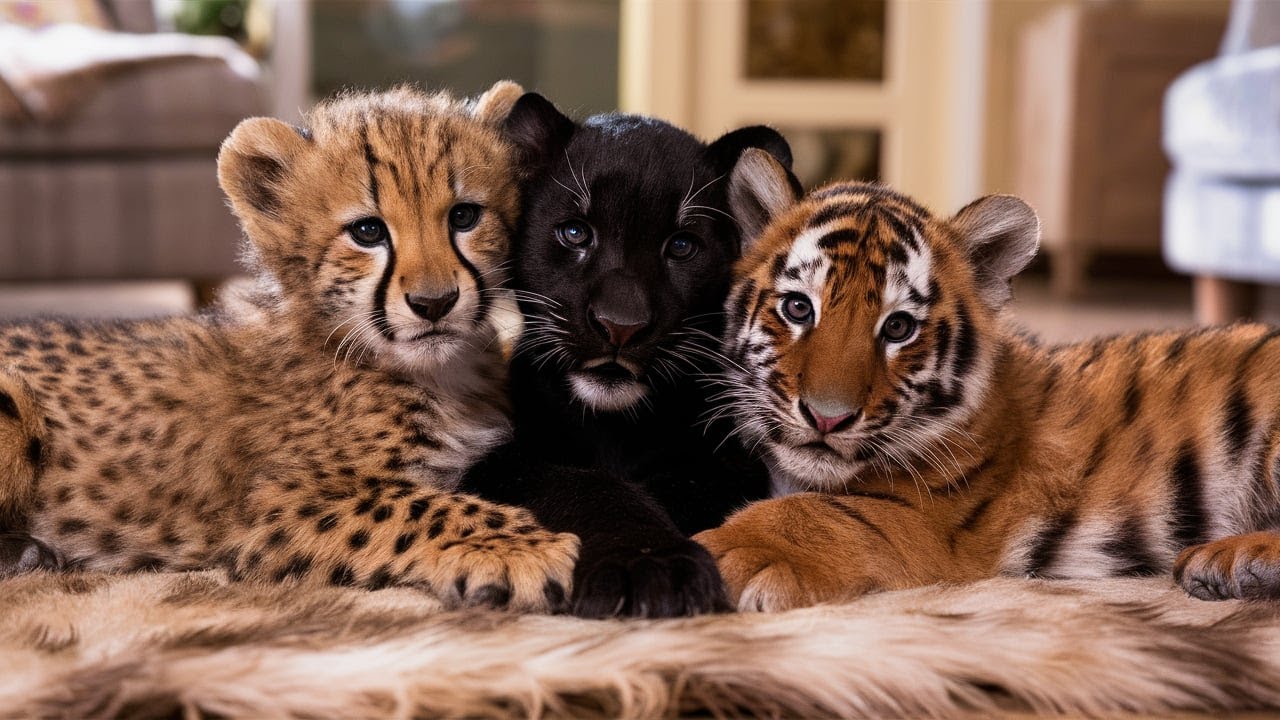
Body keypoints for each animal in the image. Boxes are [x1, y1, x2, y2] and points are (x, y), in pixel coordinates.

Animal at [0, 82, 578, 612]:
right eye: (367, 231)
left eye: (463, 217)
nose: (433, 303)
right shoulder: (274, 511)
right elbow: (422, 505)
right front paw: (519, 549)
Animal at [693, 149, 1280, 611]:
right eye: (798, 308)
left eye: (898, 327)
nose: (826, 417)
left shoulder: (930, 520)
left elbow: (825, 510)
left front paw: (721, 555)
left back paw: (1232, 559)